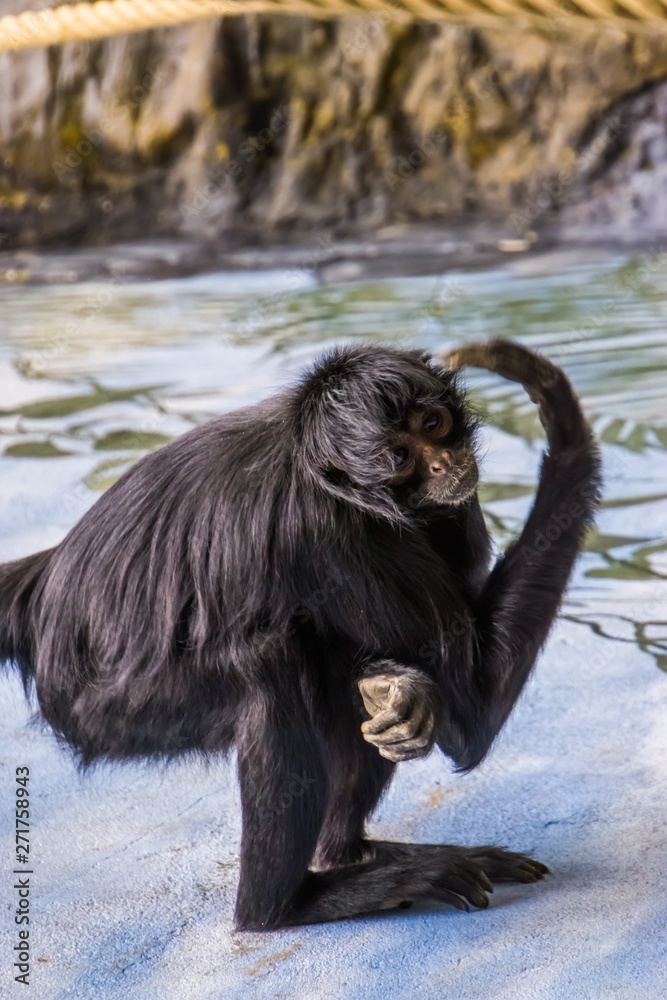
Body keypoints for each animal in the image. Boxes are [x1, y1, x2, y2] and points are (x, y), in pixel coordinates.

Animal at [0, 338, 600, 929]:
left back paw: (350, 850)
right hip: (108, 710)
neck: (318, 463)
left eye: (432, 423)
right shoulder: (335, 531)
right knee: (273, 661)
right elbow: (471, 716)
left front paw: (396, 690)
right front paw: (561, 417)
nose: (440, 462)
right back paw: (285, 906)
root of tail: (45, 589)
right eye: (401, 459)